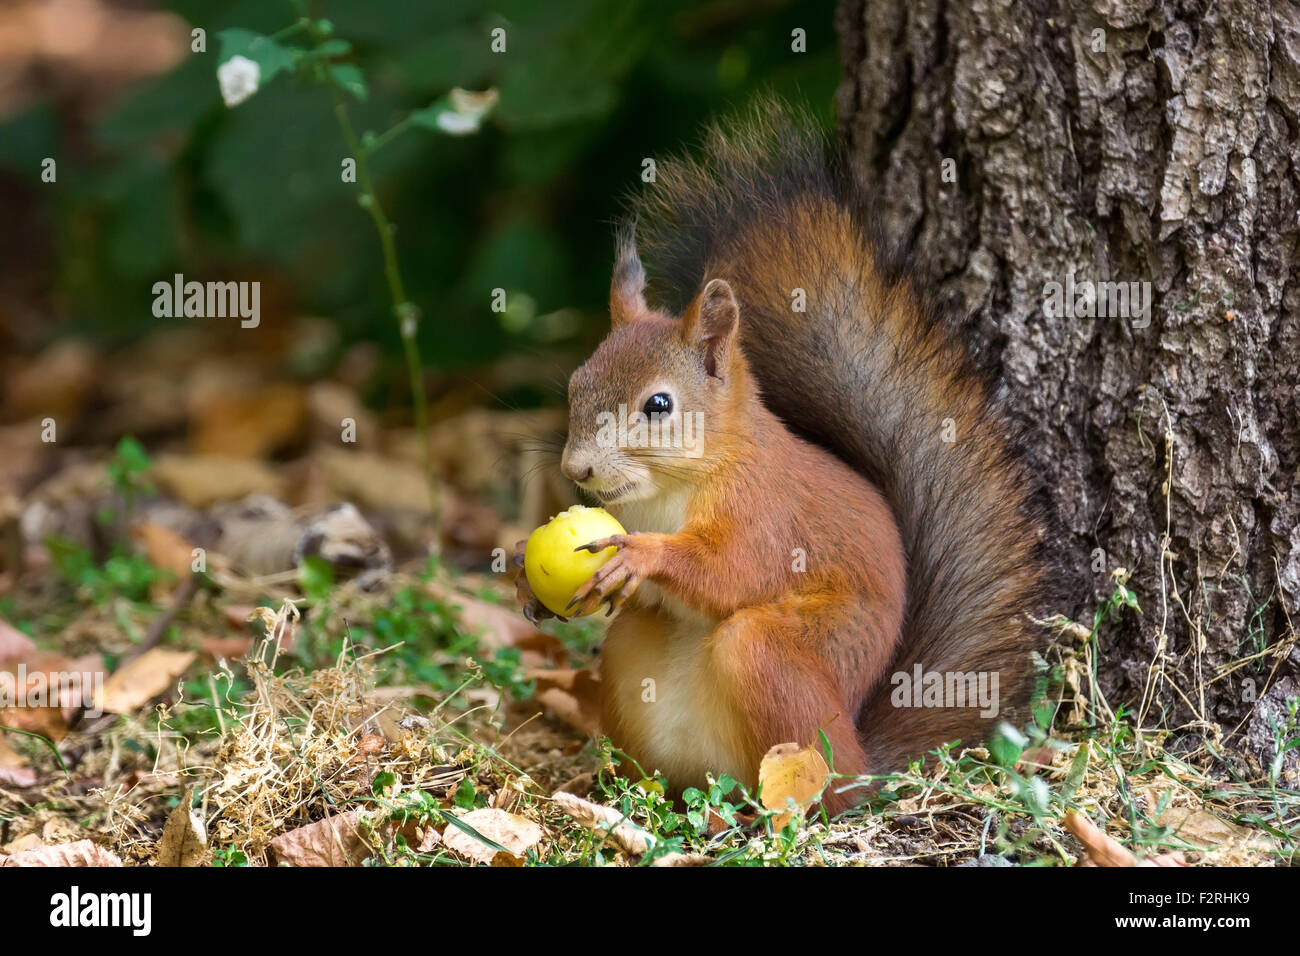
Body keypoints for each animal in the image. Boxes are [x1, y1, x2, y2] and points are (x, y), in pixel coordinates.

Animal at [514, 101, 1043, 815]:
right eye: (575, 384)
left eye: (659, 404)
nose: (577, 471)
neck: (672, 487)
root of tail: (865, 764)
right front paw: (528, 579)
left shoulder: (762, 507)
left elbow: (732, 569)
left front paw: (644, 556)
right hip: (636, 662)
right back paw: (630, 792)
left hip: (774, 661)